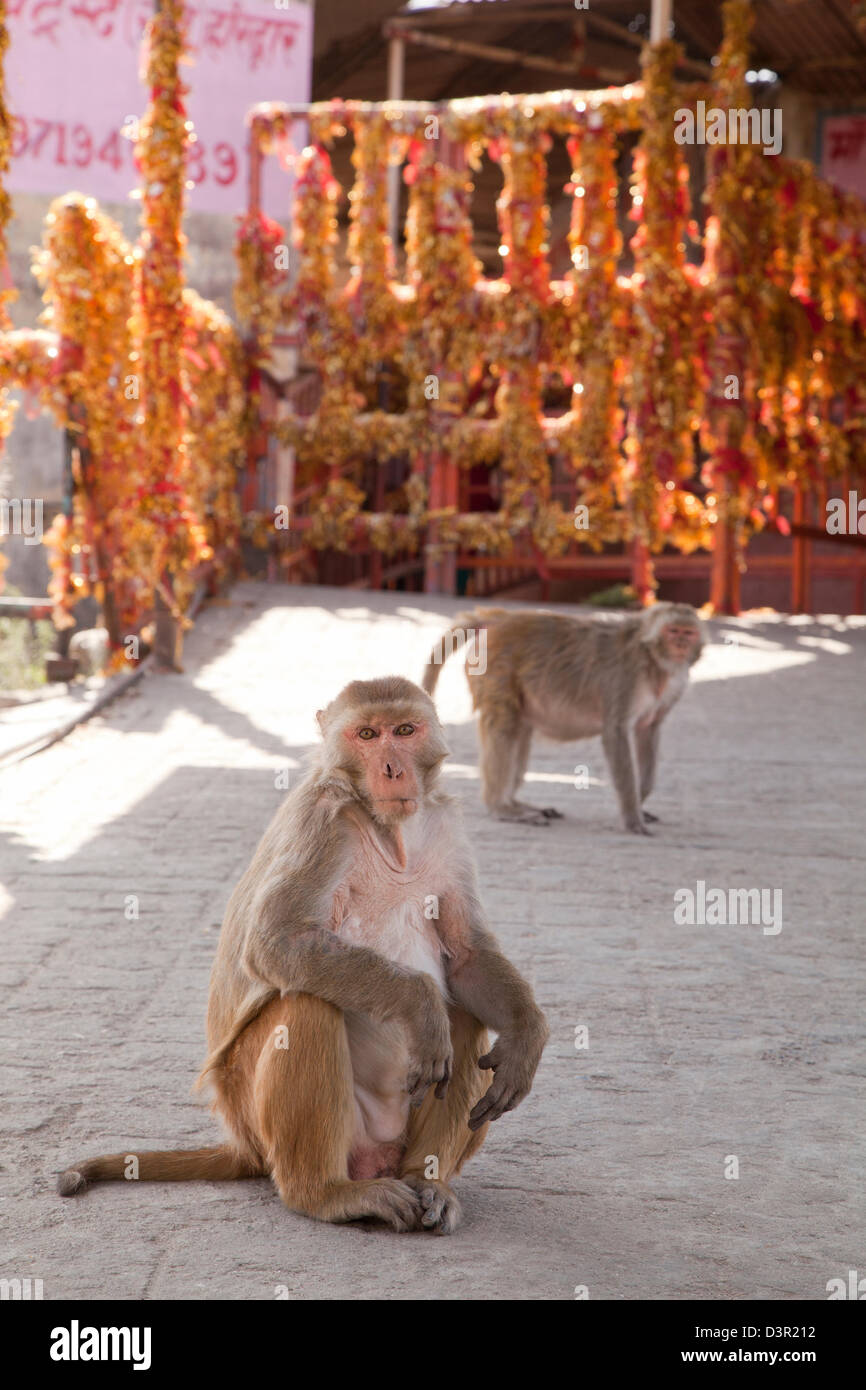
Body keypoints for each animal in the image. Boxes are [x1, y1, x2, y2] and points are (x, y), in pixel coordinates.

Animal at [58, 677, 548, 1235]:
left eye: (404, 730)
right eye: (366, 735)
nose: (391, 768)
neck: (390, 831)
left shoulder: (446, 827)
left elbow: (466, 957)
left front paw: (527, 1035)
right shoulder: (322, 823)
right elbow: (277, 942)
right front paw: (420, 1003)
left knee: (464, 1017)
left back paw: (429, 1183)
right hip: (255, 1115)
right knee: (309, 1005)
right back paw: (325, 1193)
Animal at [423, 602, 704, 835]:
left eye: (688, 633)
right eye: (673, 631)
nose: (681, 645)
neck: (654, 662)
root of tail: (502, 618)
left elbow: (648, 730)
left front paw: (641, 801)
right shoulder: (626, 678)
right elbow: (616, 732)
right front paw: (632, 818)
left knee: (520, 729)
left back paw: (517, 803)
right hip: (494, 666)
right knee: (505, 725)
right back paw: (501, 807)